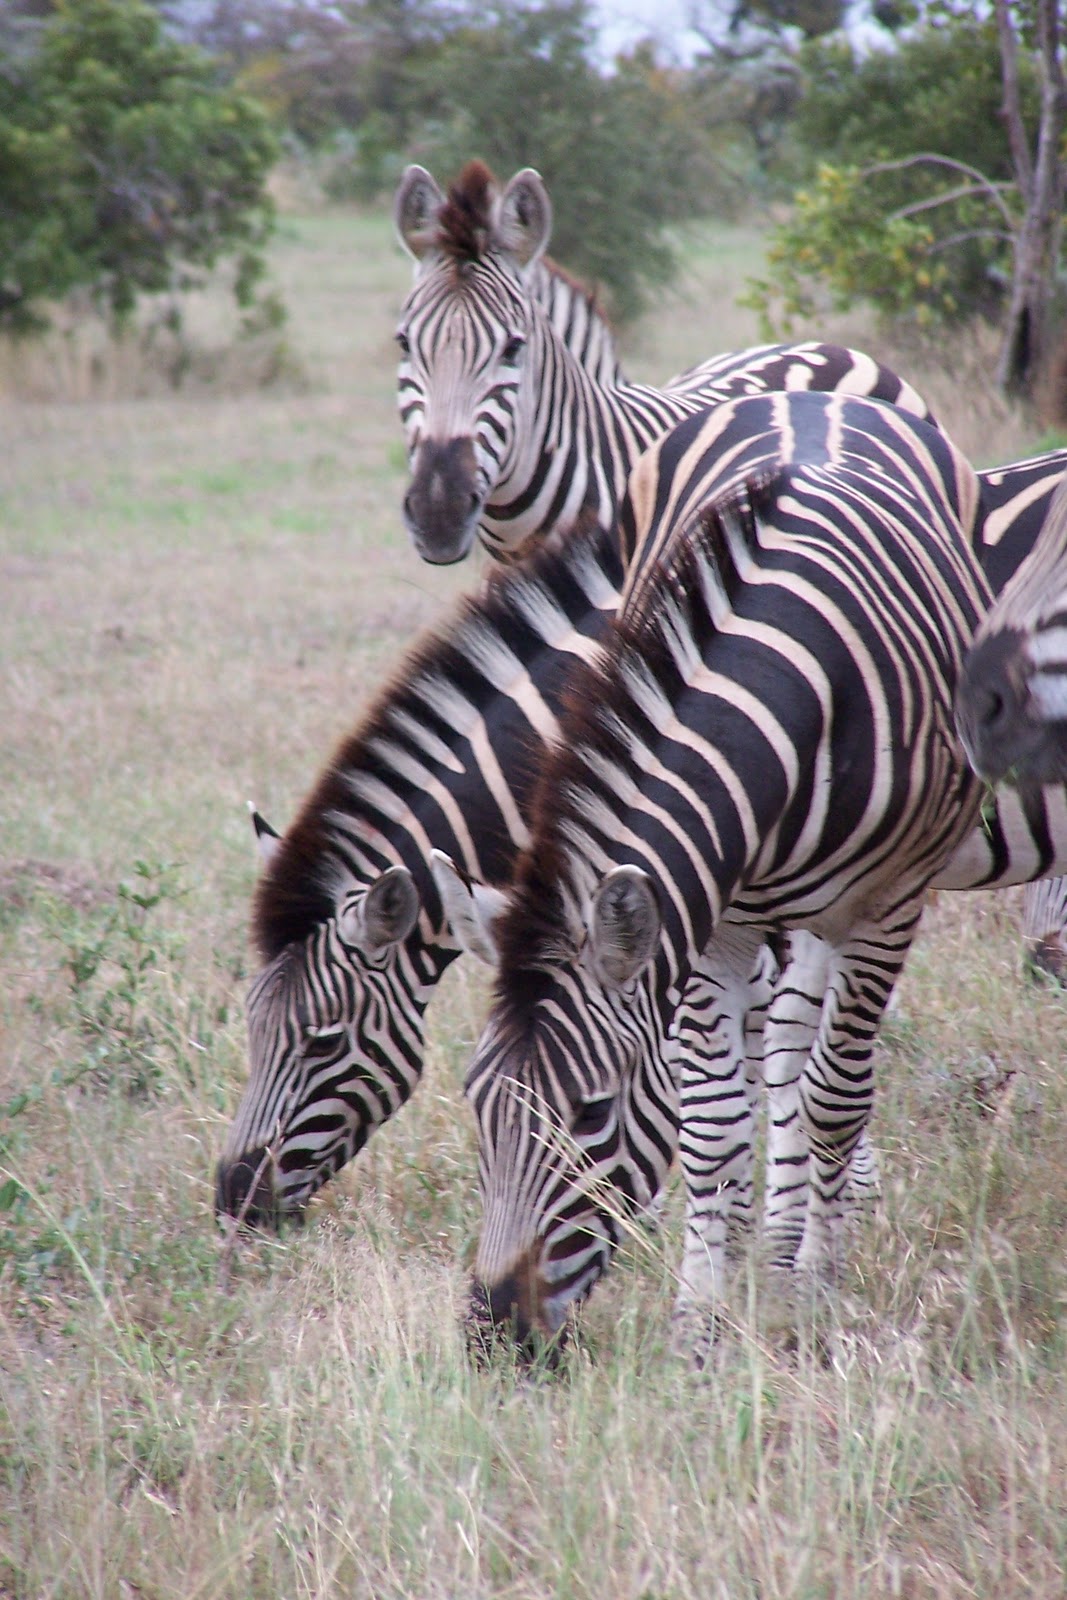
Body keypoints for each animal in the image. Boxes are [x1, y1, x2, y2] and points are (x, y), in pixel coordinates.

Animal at [437, 388, 1030, 1350]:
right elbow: (711, 1122)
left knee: (815, 1060)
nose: (494, 1334)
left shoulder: (888, 905)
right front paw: (700, 1322)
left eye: (591, 1114)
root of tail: (811, 394)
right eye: (477, 1100)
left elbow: (834, 1099)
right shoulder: (709, 921)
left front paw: (816, 1290)